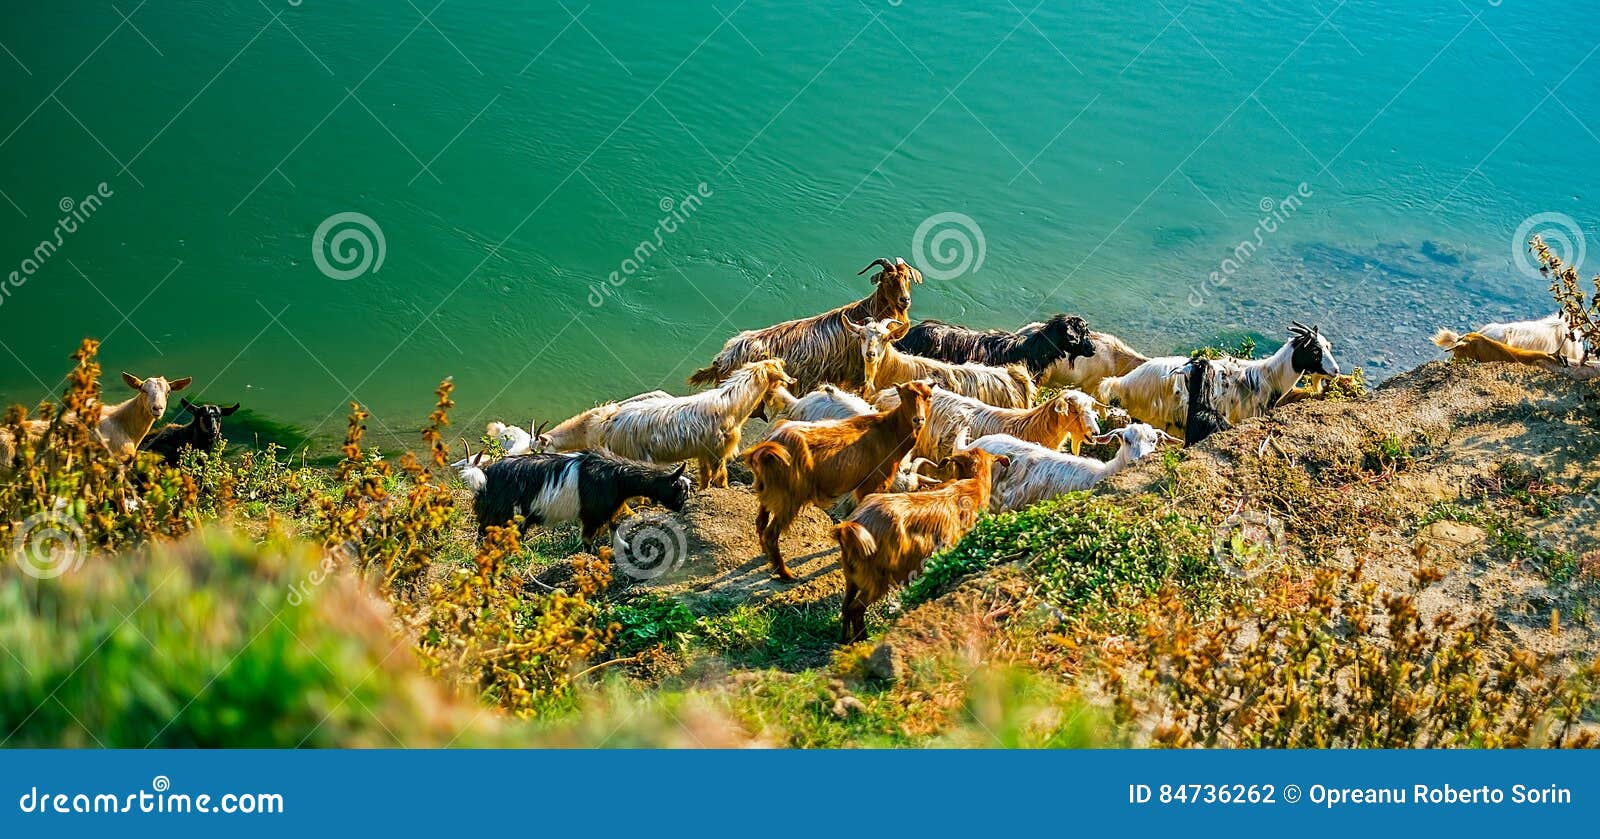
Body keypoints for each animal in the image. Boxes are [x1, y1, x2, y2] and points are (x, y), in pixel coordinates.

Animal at [456, 445, 691, 545]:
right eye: (680, 489)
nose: (682, 507)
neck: (617, 477)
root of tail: (485, 477)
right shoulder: (592, 515)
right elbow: (587, 540)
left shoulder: (609, 511)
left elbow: (614, 530)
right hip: (503, 515)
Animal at [592, 359, 795, 488]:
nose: (792, 380)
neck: (732, 404)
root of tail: (609, 422)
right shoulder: (718, 451)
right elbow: (721, 476)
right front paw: (724, 489)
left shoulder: (703, 452)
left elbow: (706, 476)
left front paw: (703, 490)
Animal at [744, 380, 932, 581]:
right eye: (903, 396)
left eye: (928, 396)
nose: (919, 420)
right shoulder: (866, 485)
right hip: (788, 499)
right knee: (771, 533)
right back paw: (785, 573)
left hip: (769, 492)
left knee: (761, 522)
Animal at [834, 446, 1007, 643]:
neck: (973, 485)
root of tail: (851, 526)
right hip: (876, 578)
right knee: (856, 608)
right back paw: (864, 638)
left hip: (852, 576)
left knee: (846, 607)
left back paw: (845, 639)